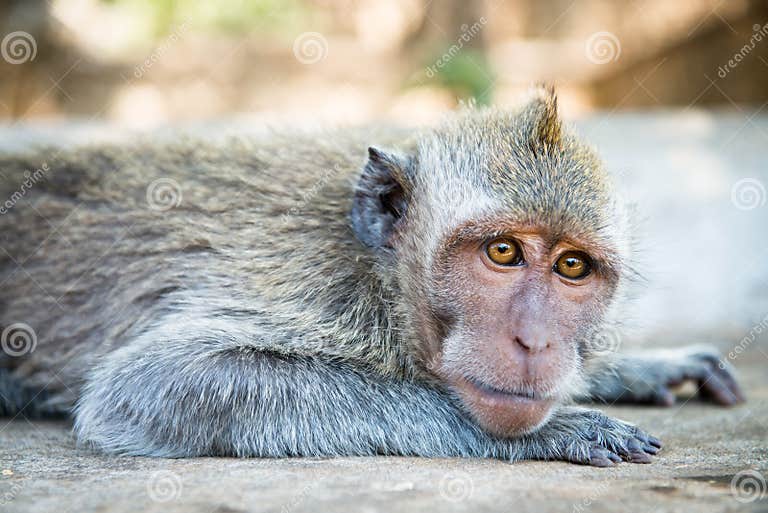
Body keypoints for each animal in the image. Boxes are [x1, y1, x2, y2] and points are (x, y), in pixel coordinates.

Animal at [0, 86, 744, 466]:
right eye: (503, 252)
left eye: (571, 266)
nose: (535, 340)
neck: (380, 275)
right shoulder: (315, 285)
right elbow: (153, 384)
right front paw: (549, 433)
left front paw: (640, 366)